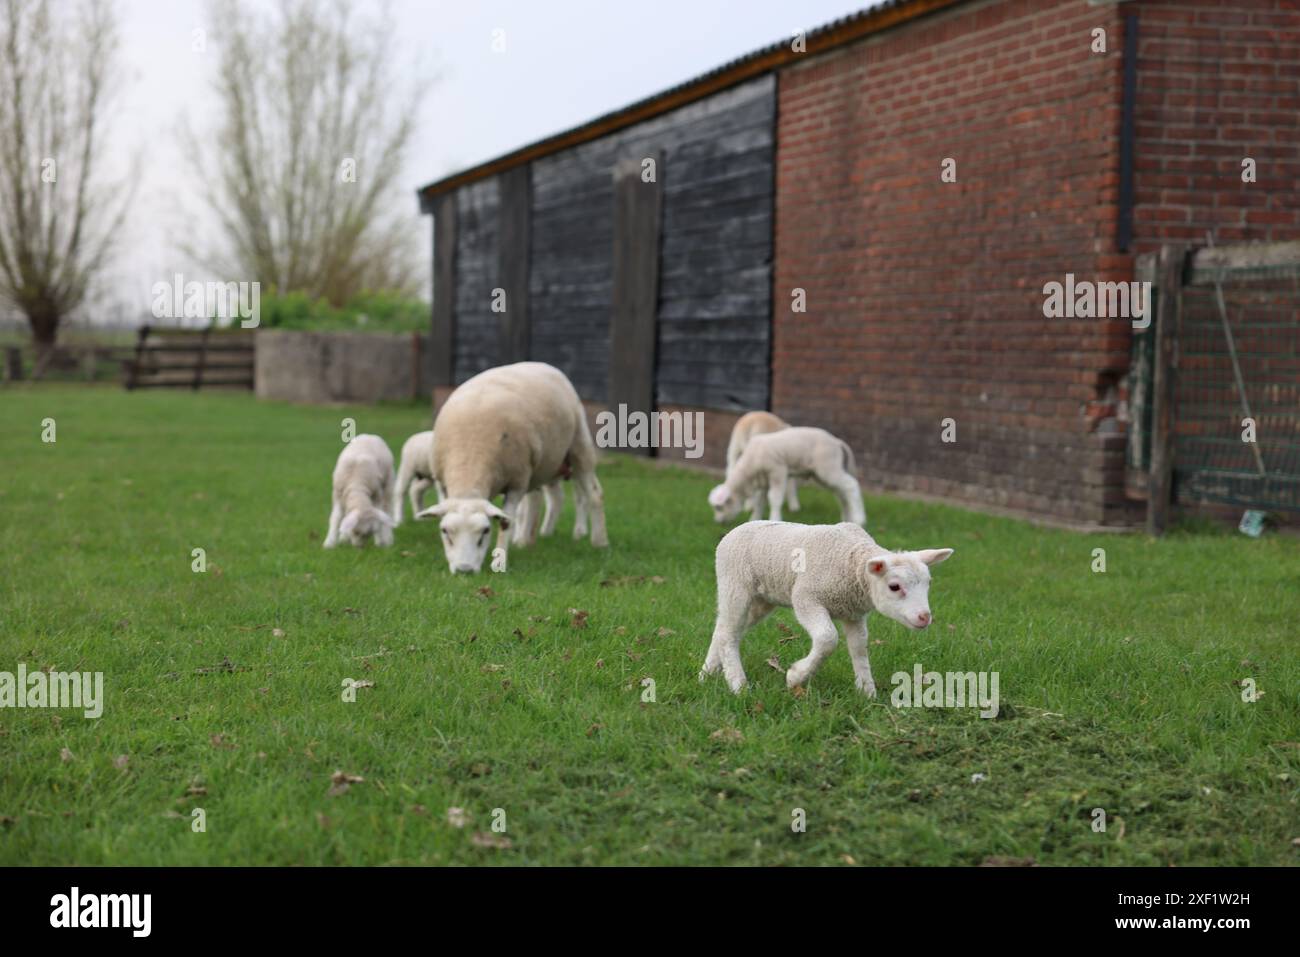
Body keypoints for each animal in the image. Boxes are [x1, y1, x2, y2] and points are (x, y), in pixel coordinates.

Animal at [416, 361, 607, 573]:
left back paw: (599, 542)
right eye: (445, 531)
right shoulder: (443, 485)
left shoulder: (517, 482)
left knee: (594, 493)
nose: (464, 570)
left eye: (485, 531)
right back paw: (527, 540)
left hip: (579, 444)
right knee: (540, 500)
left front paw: (499, 561)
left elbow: (506, 521)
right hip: (538, 467)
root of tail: (541, 364)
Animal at [699, 521, 953, 695]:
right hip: (735, 584)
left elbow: (859, 648)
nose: (924, 617)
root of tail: (733, 531)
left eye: (929, 583)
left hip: (762, 599)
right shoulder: (806, 597)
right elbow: (827, 638)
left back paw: (706, 674)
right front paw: (796, 676)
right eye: (894, 586)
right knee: (729, 634)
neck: (852, 565)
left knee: (724, 629)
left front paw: (867, 691)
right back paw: (738, 685)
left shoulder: (854, 613)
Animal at [708, 426, 865, 526]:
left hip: (828, 467)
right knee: (842, 494)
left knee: (851, 486)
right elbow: (759, 502)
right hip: (824, 473)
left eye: (719, 507)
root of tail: (837, 442)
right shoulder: (764, 480)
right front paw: (754, 520)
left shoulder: (778, 472)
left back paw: (859, 519)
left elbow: (774, 498)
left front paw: (775, 518)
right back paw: (848, 518)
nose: (718, 522)